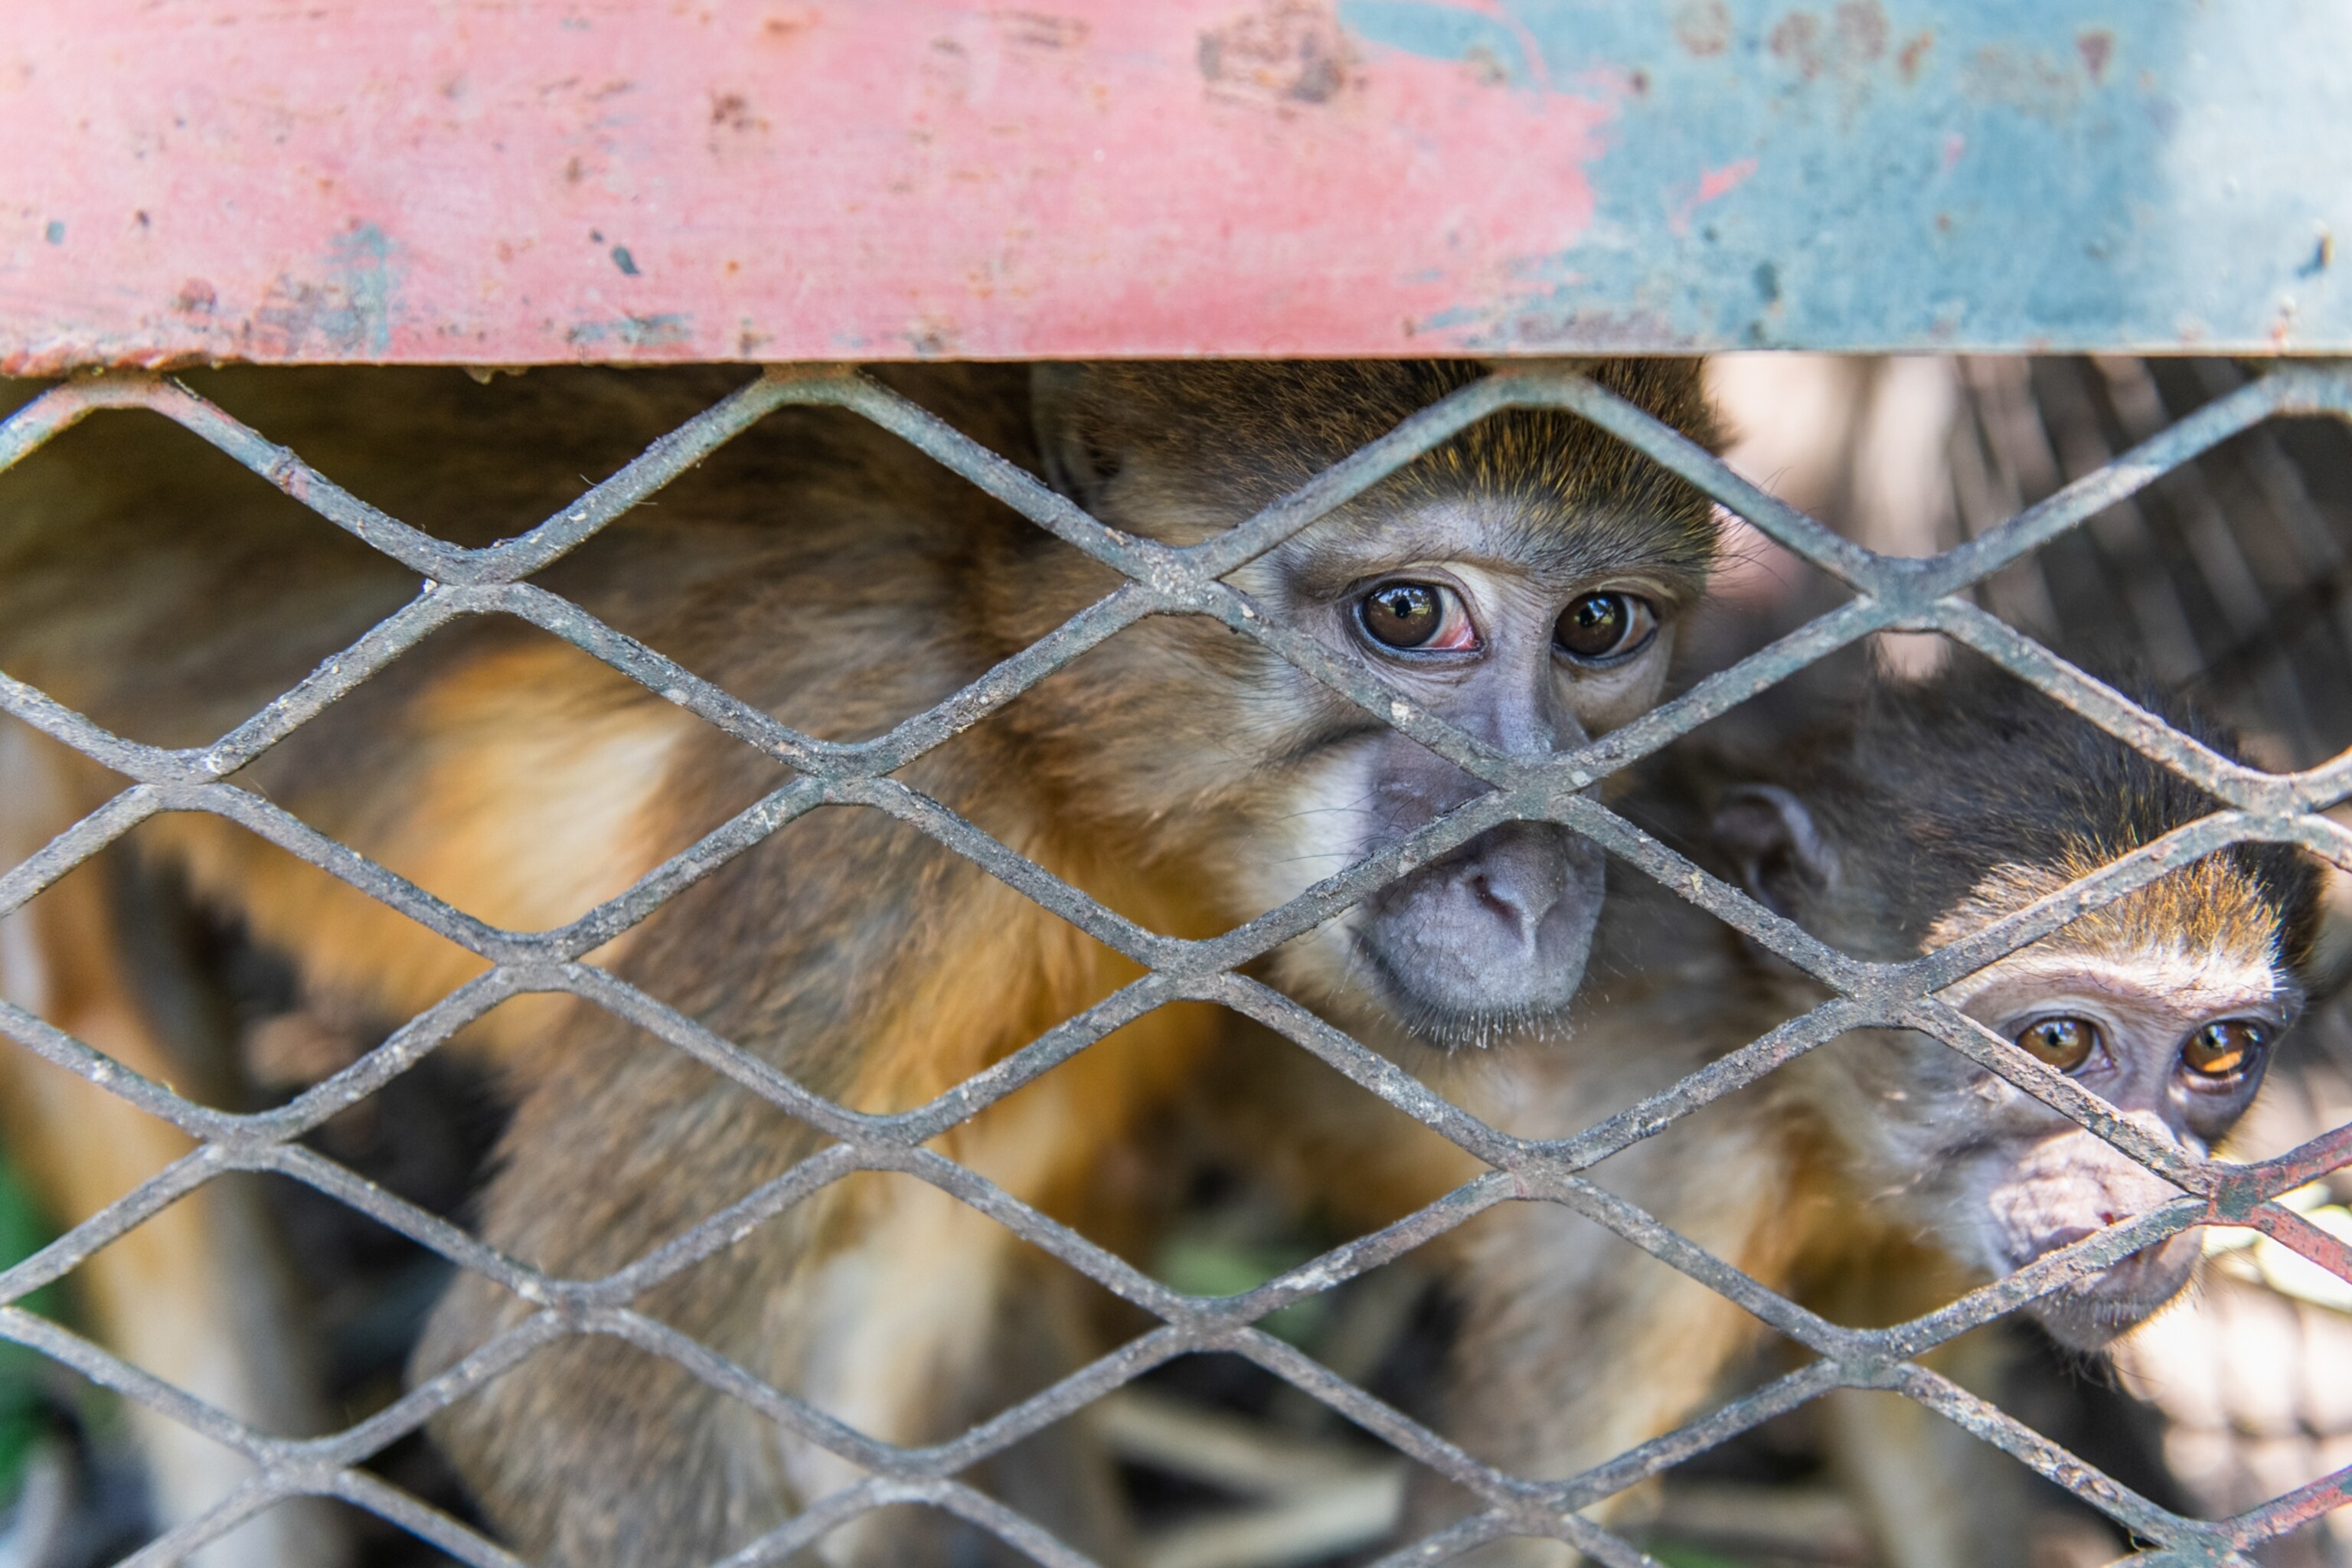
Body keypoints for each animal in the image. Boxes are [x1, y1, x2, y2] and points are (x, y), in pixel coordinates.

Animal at [0, 356, 1722, 1565]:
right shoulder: (881, 813)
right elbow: (568, 1384)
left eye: (1598, 630)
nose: (1529, 878)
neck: (1020, 684)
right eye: (1409, 614)